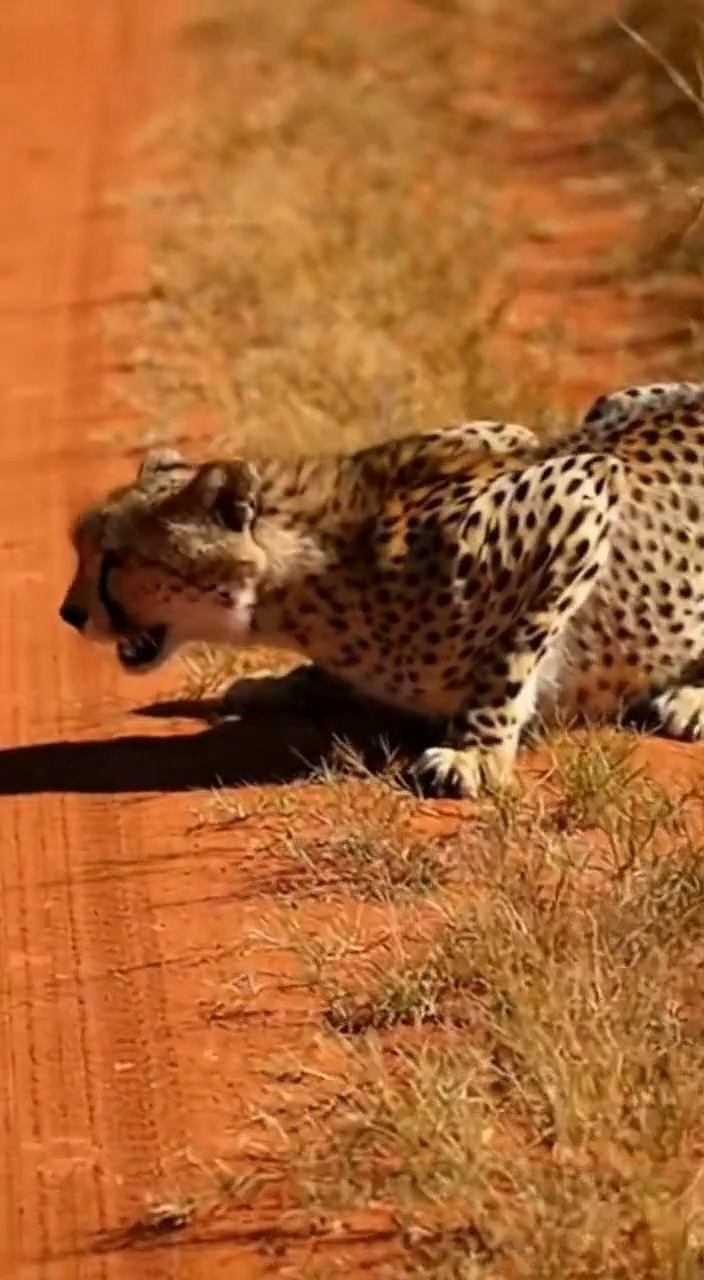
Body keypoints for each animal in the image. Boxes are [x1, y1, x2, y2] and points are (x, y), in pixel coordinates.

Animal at [60, 382, 704, 798]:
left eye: (116, 558)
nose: (69, 613)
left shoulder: (578, 490)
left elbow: (512, 655)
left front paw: (476, 752)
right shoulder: (508, 435)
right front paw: (284, 684)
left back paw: (688, 698)